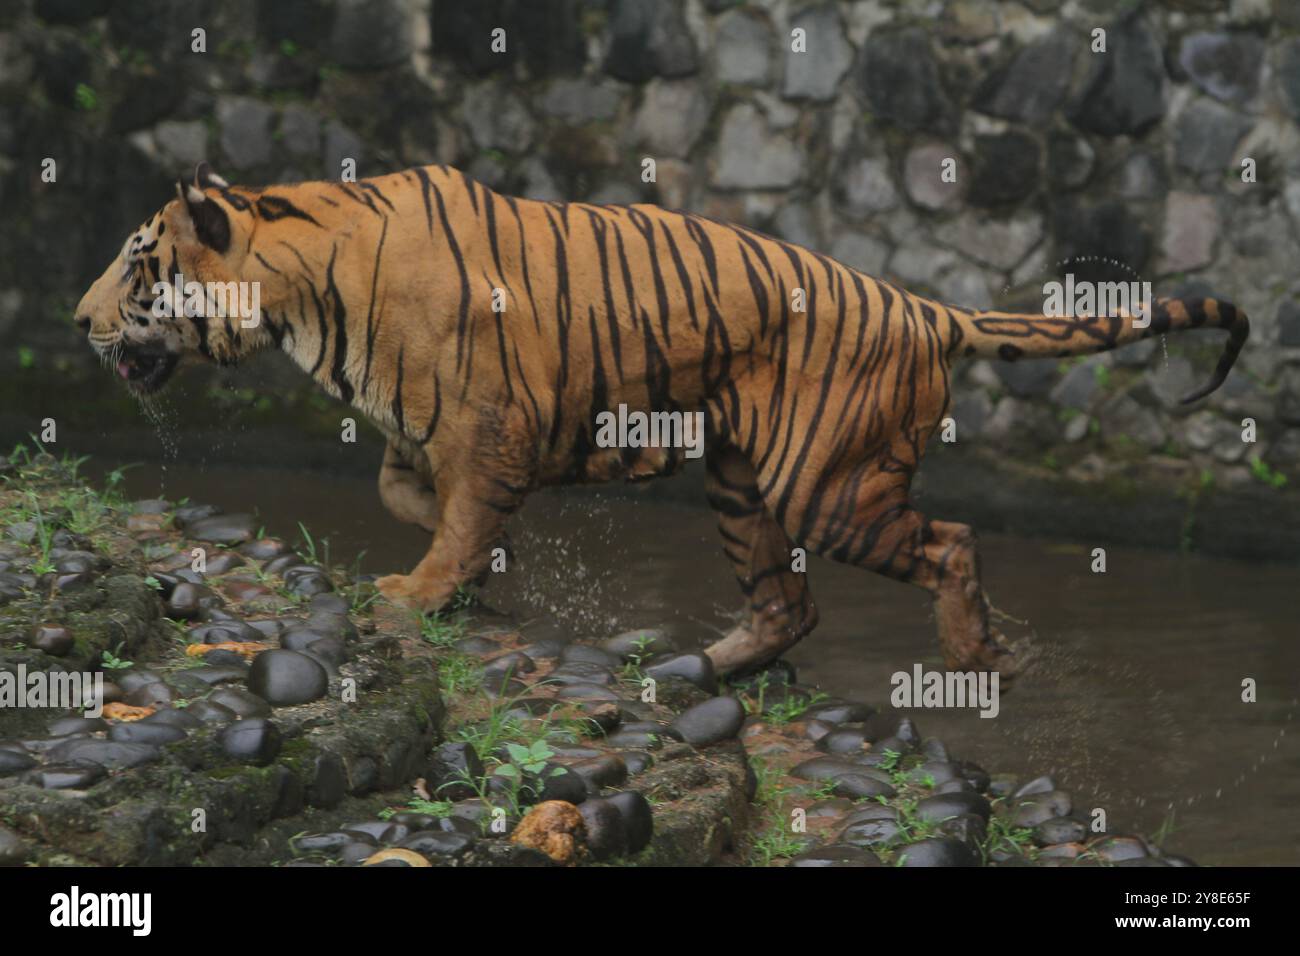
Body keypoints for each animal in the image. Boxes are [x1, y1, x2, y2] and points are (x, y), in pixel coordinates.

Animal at [74, 162, 1250, 679]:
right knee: (788, 606)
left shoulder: (491, 424)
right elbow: (409, 491)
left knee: (950, 543)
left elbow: (454, 515)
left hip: (824, 486)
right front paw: (479, 566)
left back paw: (975, 656)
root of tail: (924, 304)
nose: (77, 320)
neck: (298, 290)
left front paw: (420, 588)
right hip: (741, 480)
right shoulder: (436, 429)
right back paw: (698, 667)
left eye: (138, 263)